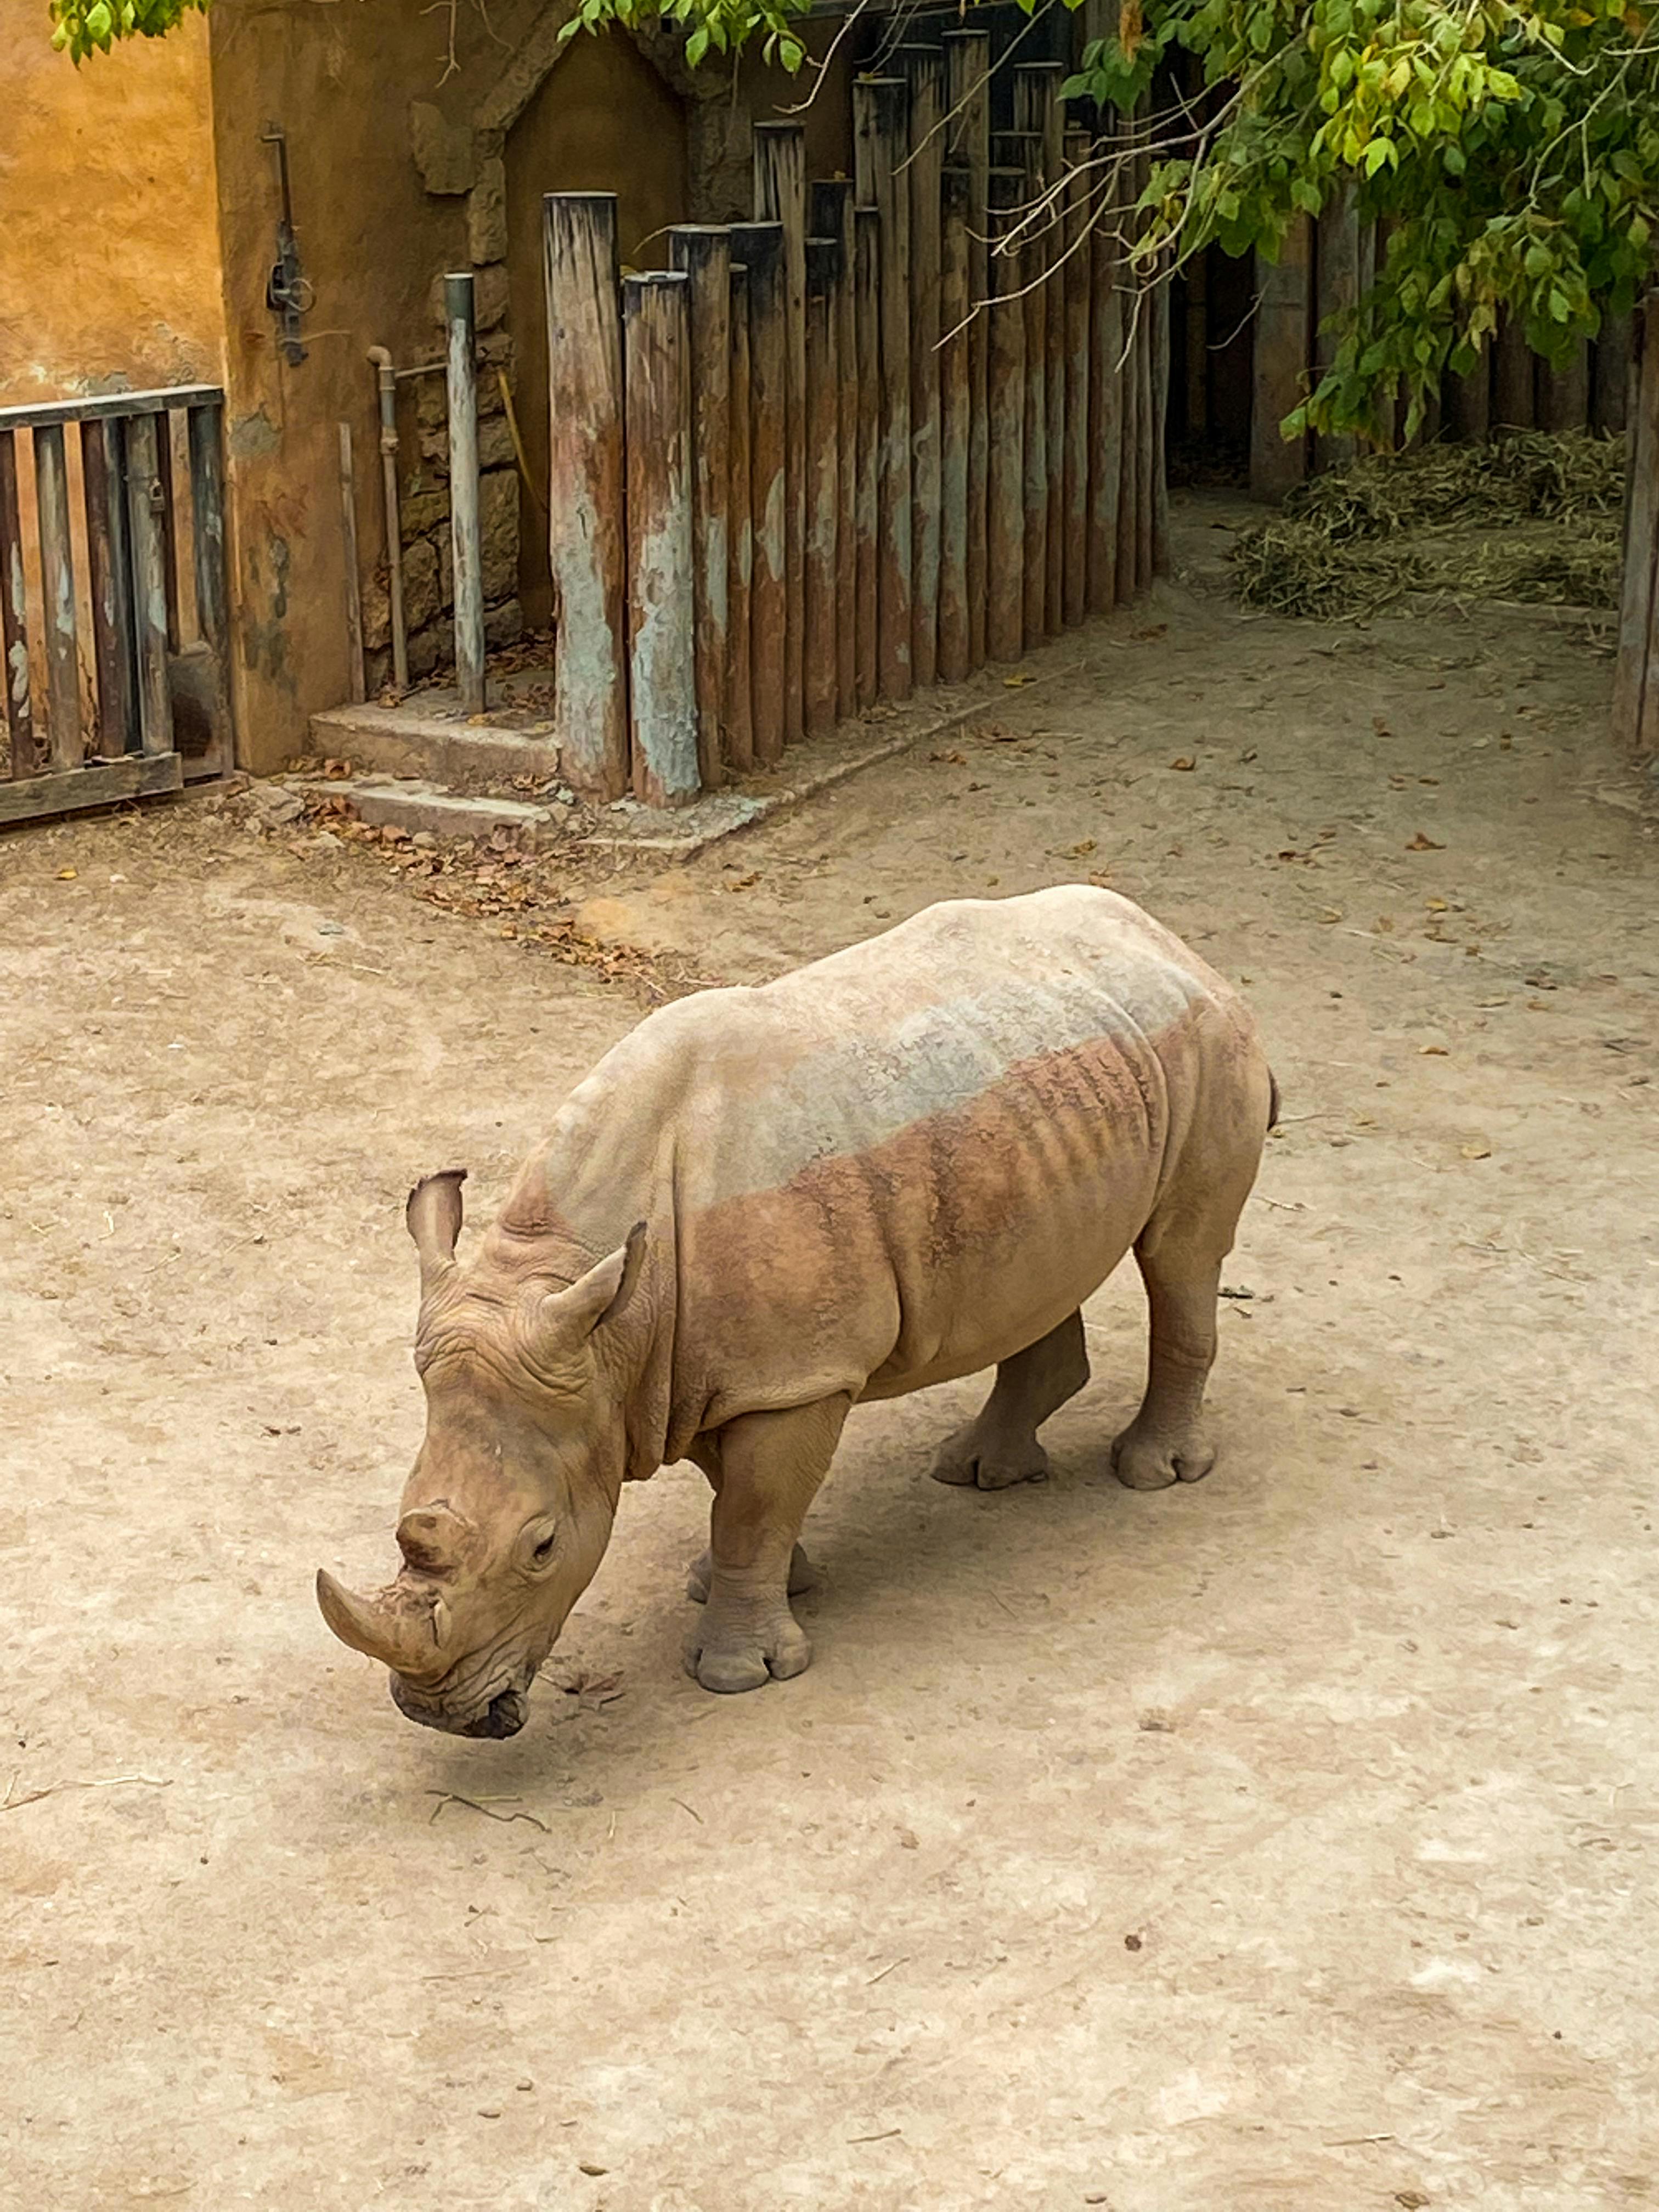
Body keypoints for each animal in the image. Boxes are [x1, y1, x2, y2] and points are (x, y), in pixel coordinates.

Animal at [316, 886, 1276, 1738]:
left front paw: (738, 1674)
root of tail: (1172, 941)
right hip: (1060, 1081)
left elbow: (753, 1505)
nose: (442, 1717)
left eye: (543, 1547)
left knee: (1180, 1253)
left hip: (1205, 1046)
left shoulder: (793, 1378)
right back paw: (979, 1473)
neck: (598, 1307)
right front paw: (746, 1583)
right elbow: (734, 1495)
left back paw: (1152, 1475)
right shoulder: (706, 1368)